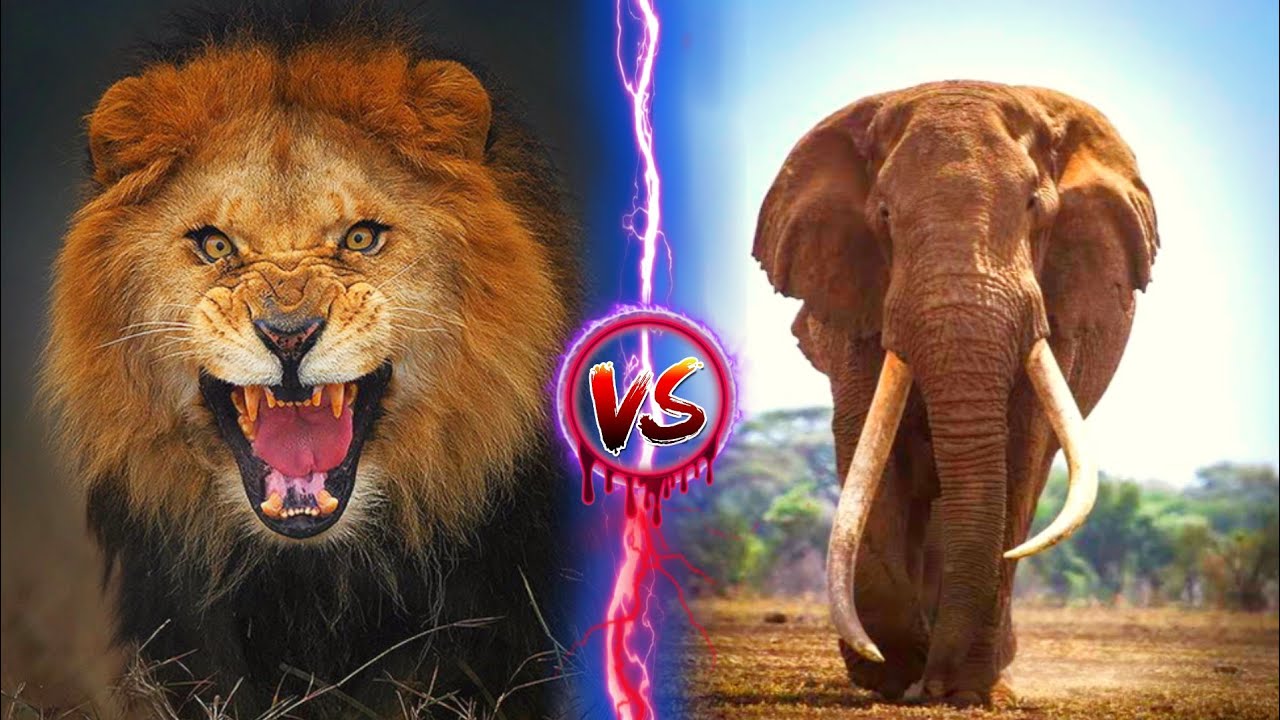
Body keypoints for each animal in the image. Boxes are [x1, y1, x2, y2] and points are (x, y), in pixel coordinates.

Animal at [752, 81, 1158, 705]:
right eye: (884, 215)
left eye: (1034, 207)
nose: (931, 684)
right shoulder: (856, 302)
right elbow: (869, 449)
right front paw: (894, 671)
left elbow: (1020, 454)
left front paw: (961, 686)